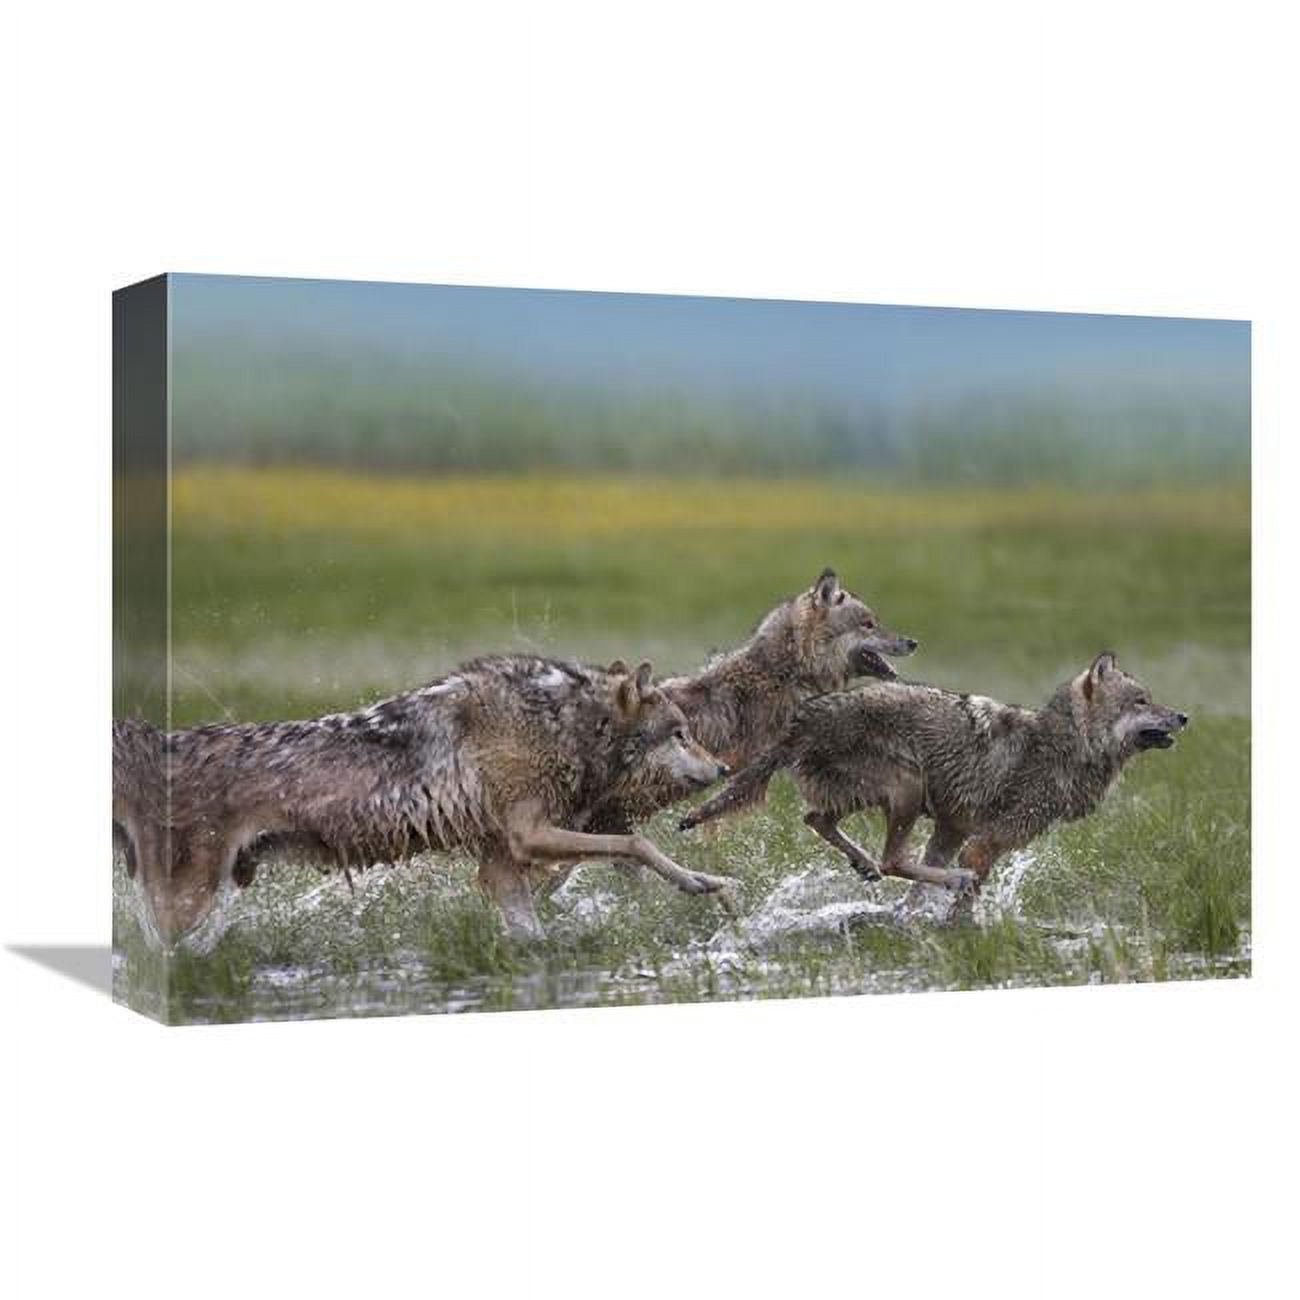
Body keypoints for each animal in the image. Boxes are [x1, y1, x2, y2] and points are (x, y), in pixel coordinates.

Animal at [113, 656, 733, 946]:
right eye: (680, 734)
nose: (725, 767)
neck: (561, 721)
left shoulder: (499, 862)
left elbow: (531, 931)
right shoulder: (529, 836)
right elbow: (634, 842)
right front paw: (702, 882)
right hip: (188, 898)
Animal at [680, 652, 1188, 896]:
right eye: (1141, 701)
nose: (1183, 716)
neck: (1062, 746)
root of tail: (802, 718)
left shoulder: (952, 829)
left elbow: (919, 894)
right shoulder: (981, 846)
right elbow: (960, 897)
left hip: (873, 796)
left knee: (818, 821)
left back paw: (861, 863)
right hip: (905, 787)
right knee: (890, 859)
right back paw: (898, 868)